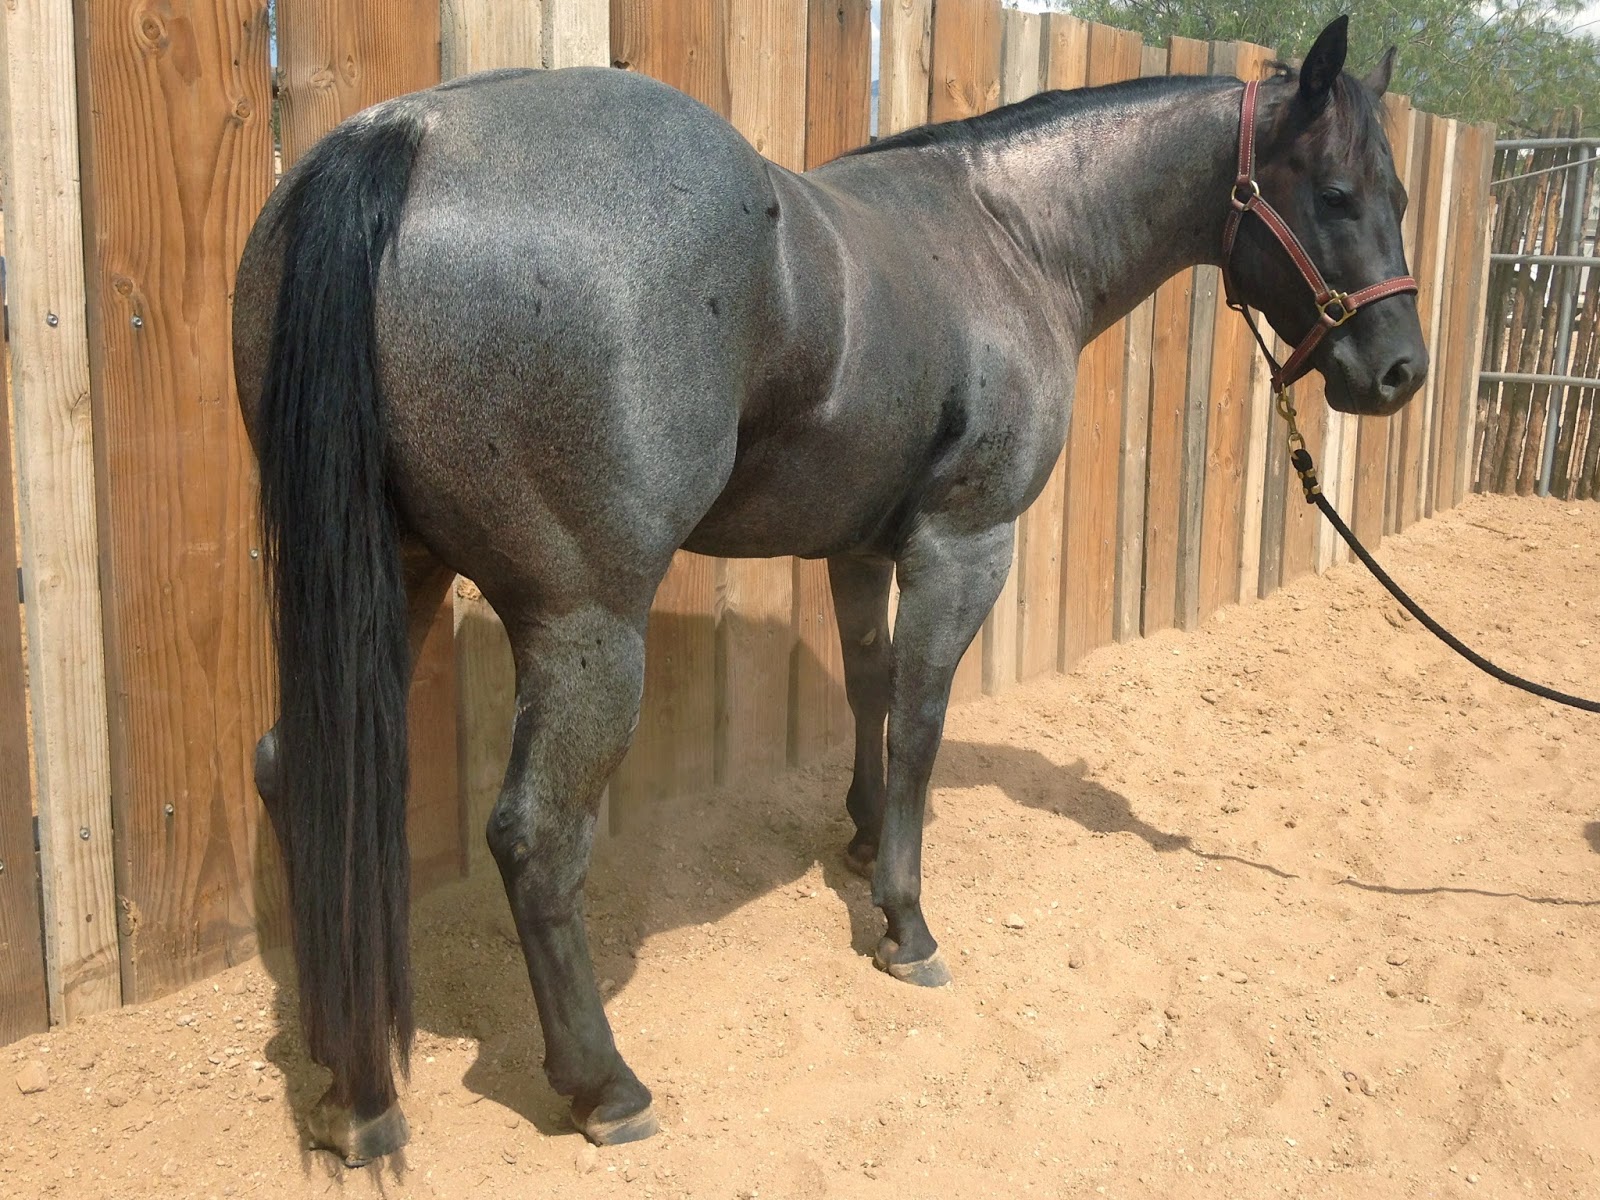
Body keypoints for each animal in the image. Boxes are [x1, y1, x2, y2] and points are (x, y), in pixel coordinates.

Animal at [233, 15, 1424, 1165]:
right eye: (1334, 193)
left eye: (1400, 198)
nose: (1399, 371)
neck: (1010, 236)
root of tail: (404, 136)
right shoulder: (962, 545)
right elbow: (924, 719)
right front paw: (905, 923)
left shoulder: (860, 548)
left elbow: (870, 688)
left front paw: (857, 838)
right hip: (585, 624)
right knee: (535, 836)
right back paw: (604, 1088)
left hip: (399, 579)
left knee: (297, 772)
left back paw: (355, 1090)